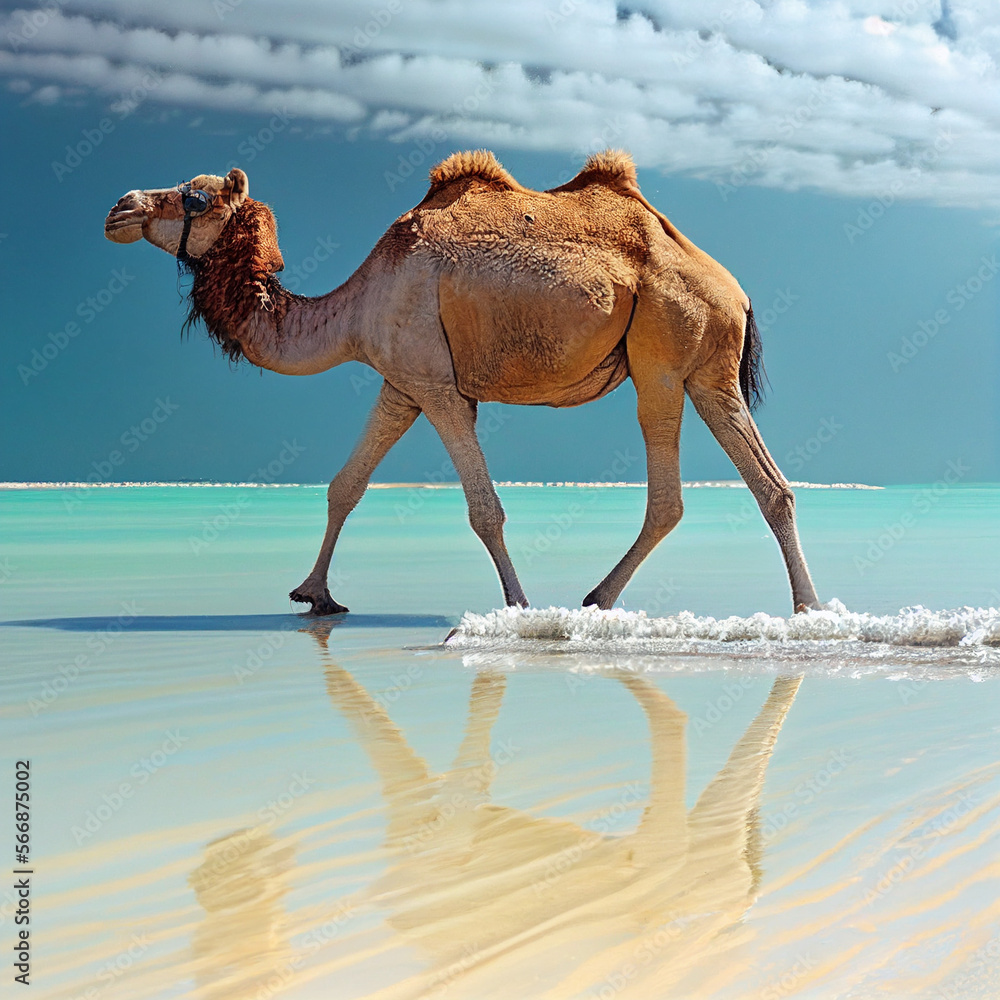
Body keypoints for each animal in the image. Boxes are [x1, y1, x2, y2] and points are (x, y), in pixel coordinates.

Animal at [104, 151, 820, 615]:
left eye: (195, 196)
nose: (119, 207)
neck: (353, 309)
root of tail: (736, 290)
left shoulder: (439, 387)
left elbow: (485, 508)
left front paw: (518, 605)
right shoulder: (399, 384)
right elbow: (345, 486)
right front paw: (315, 595)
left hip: (664, 353)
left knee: (669, 486)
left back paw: (603, 599)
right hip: (709, 370)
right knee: (770, 485)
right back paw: (807, 609)